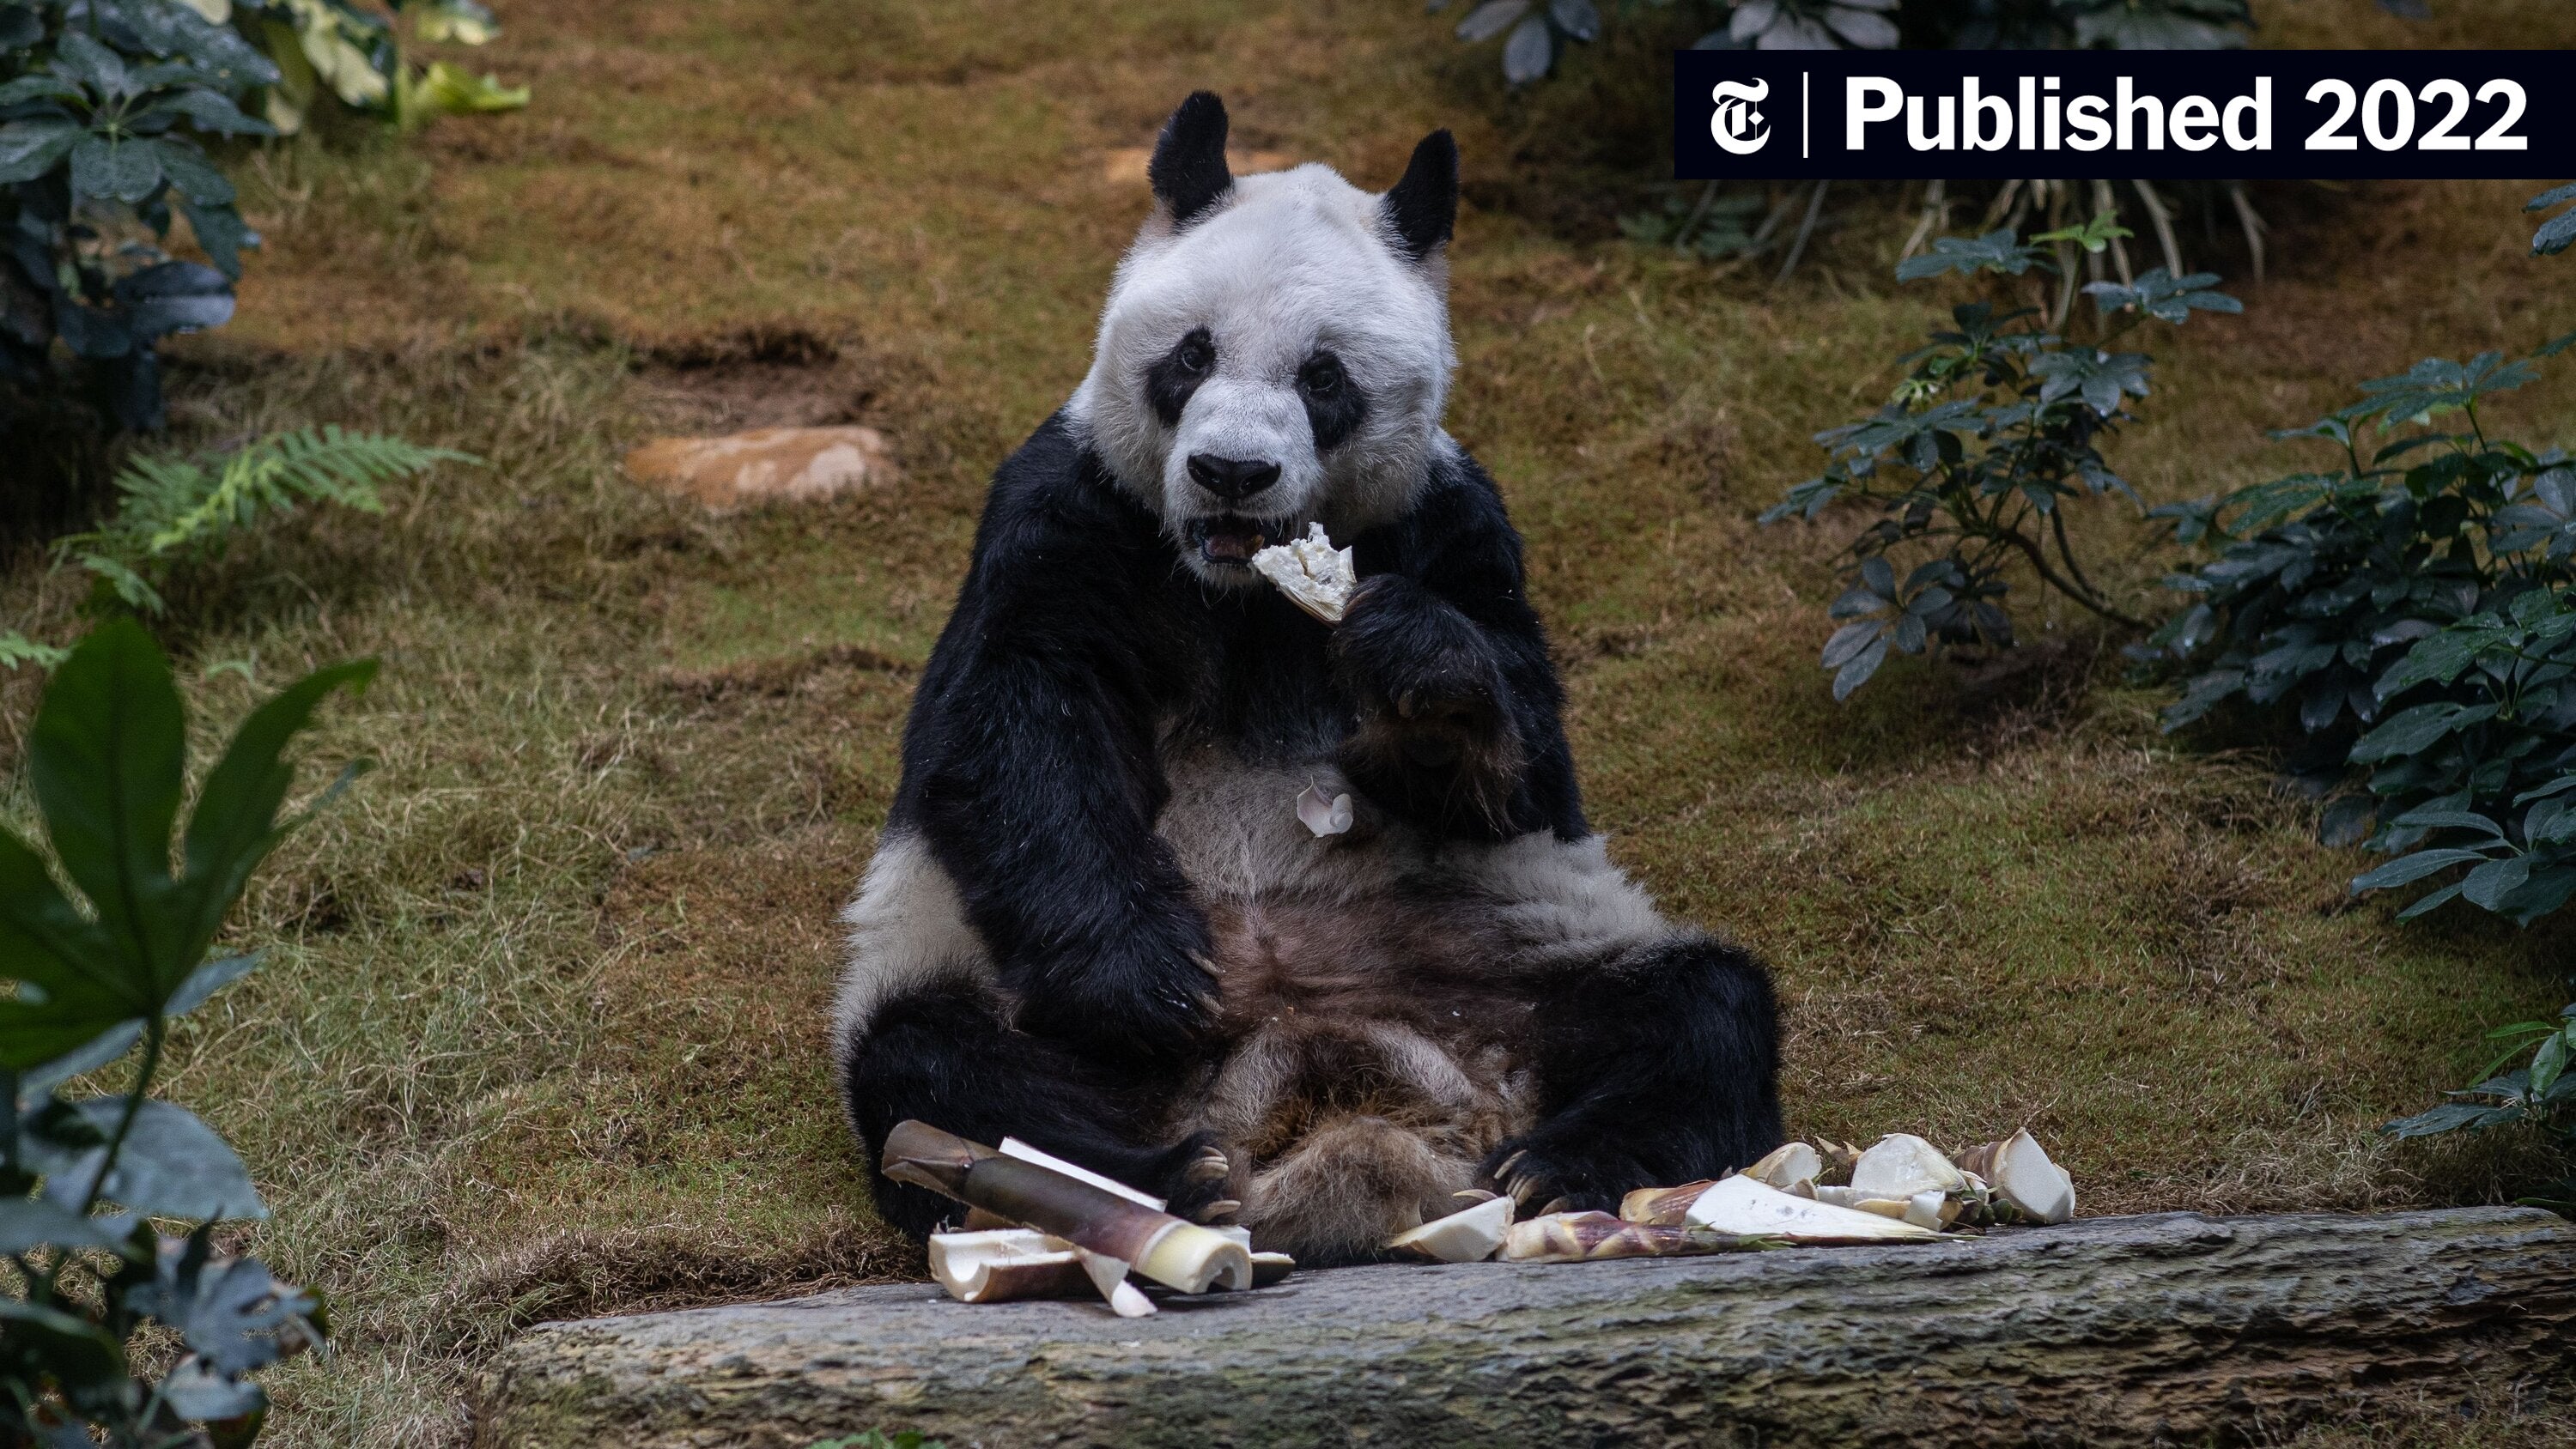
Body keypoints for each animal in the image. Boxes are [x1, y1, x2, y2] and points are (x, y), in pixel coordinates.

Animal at [833, 92, 1782, 1265]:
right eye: (1191, 355)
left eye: (1322, 377)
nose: (1231, 471)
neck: (1241, 588)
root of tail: (1336, 1108)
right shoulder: (1069, 508)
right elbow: (1016, 721)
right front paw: (1148, 975)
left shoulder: (1451, 523)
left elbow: (1522, 764)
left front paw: (1420, 668)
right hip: (992, 981)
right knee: (940, 1064)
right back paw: (1163, 1180)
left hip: (1512, 953)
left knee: (1701, 1006)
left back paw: (1558, 1167)